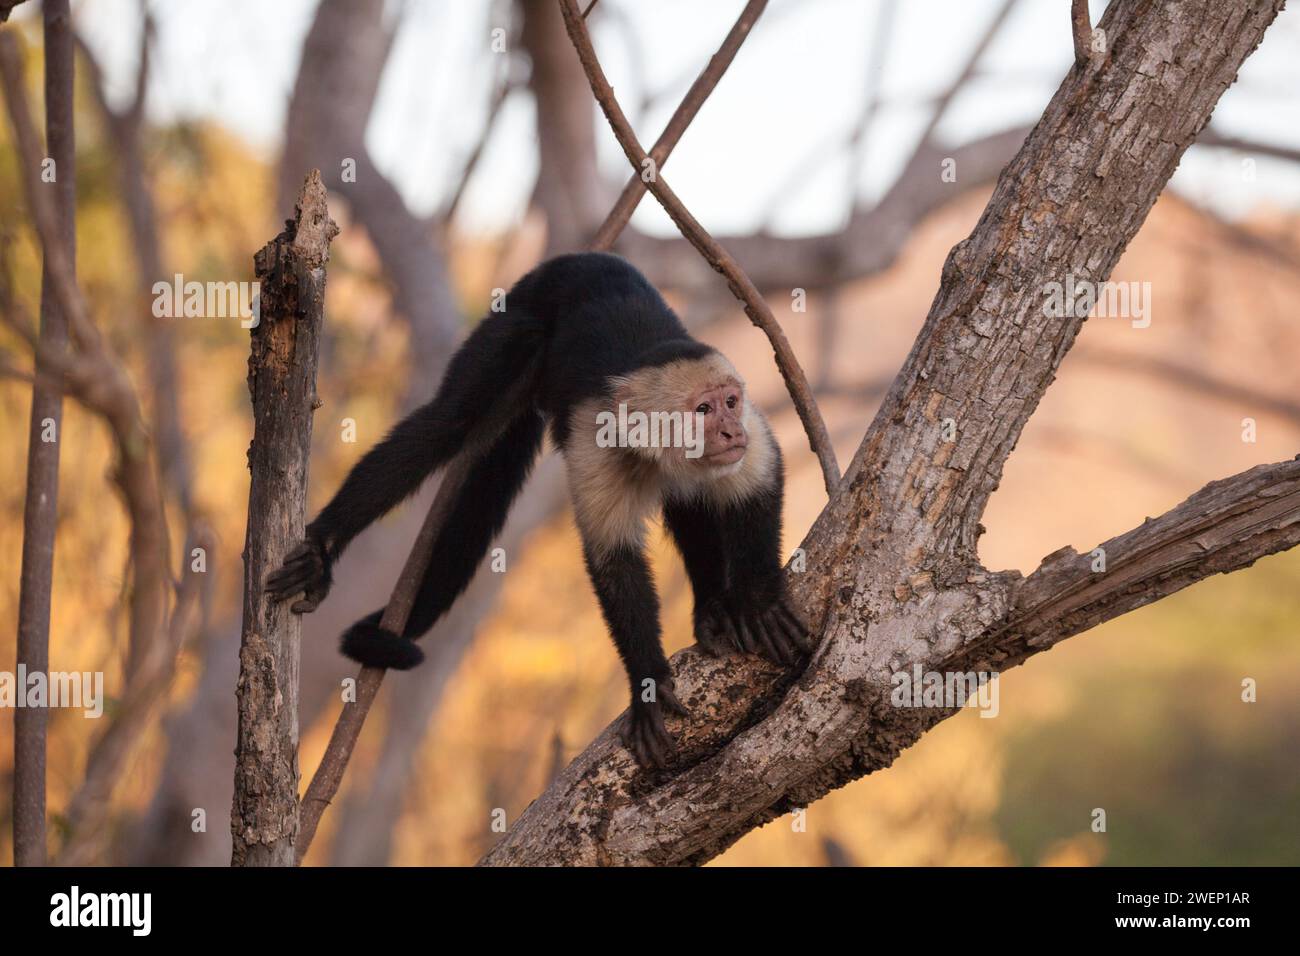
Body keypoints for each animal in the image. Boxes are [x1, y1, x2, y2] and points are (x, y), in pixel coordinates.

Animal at [266, 251, 809, 768]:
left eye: (731, 402)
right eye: (702, 410)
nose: (730, 431)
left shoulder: (743, 440)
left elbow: (758, 481)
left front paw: (756, 601)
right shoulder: (597, 440)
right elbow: (613, 560)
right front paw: (648, 685)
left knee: (689, 498)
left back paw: (713, 607)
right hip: (515, 319)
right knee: (452, 418)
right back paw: (323, 545)